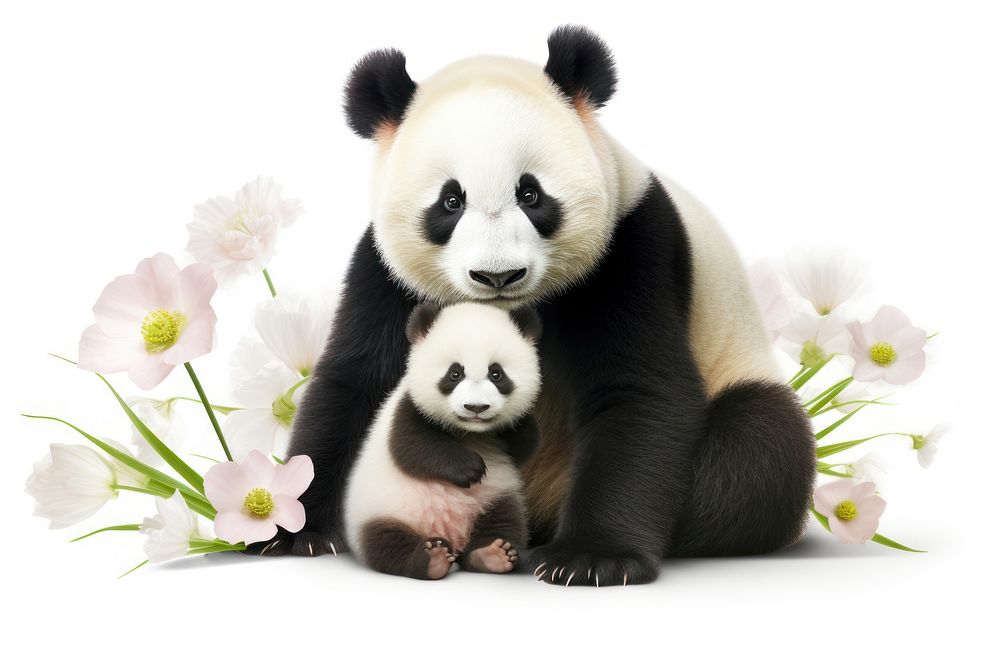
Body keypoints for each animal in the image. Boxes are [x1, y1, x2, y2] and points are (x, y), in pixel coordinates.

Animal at [343, 302, 542, 580]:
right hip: (384, 512)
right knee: (386, 544)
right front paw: (470, 468)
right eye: (455, 373)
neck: (470, 433)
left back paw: (491, 555)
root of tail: (452, 539)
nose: (476, 407)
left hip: (493, 500)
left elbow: (527, 444)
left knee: (504, 522)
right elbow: (412, 446)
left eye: (496, 373)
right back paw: (431, 559)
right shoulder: (406, 408)